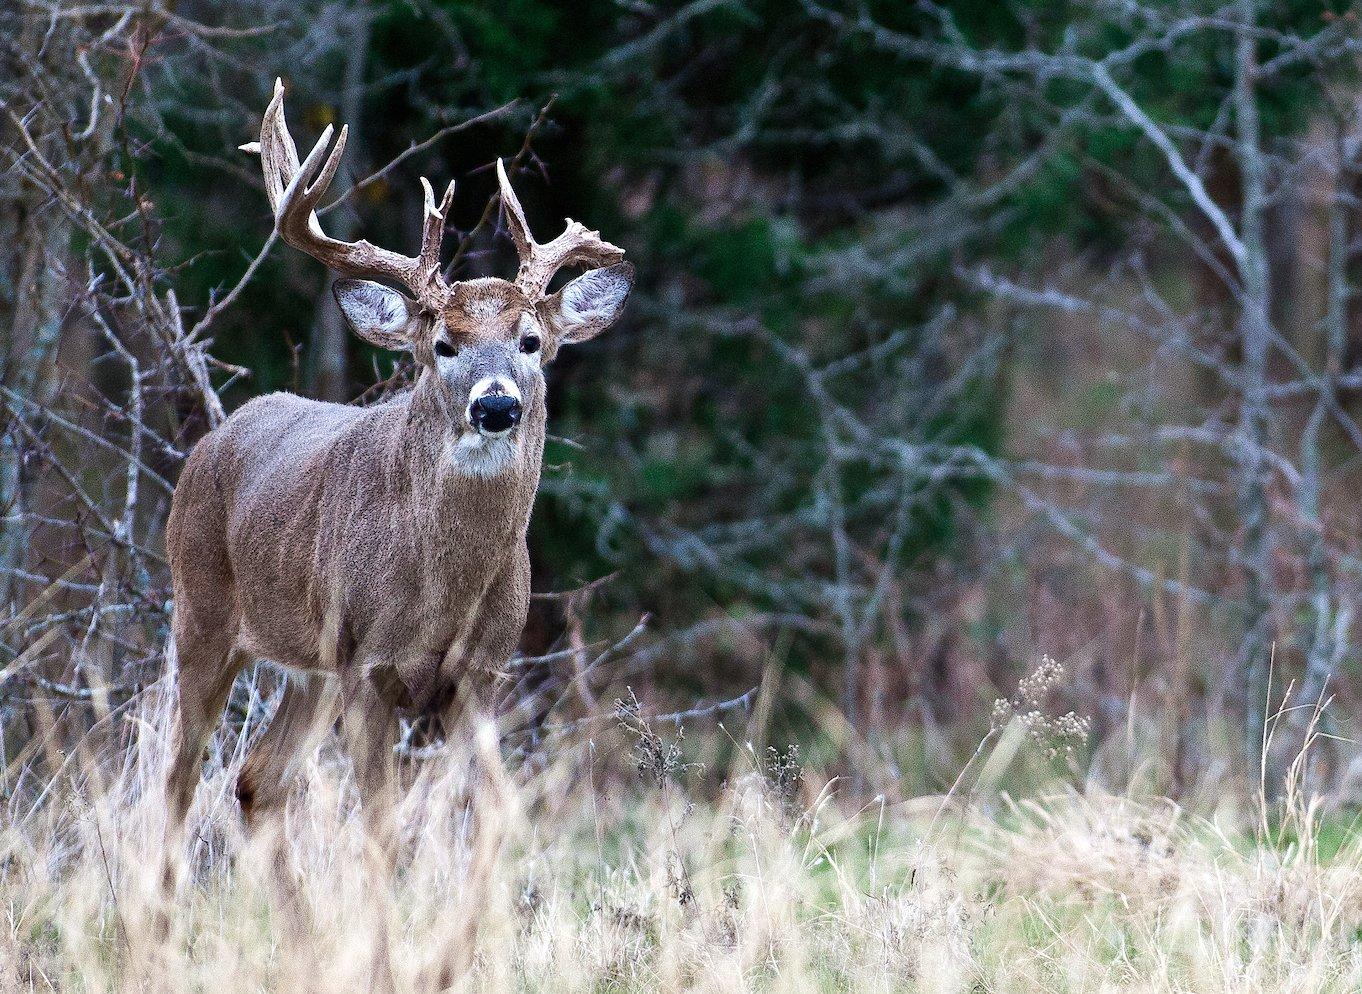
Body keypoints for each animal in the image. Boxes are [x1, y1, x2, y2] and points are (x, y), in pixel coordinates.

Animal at [162, 77, 634, 866]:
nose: (497, 404)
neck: (442, 591)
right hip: (201, 614)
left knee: (257, 780)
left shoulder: (482, 676)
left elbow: (481, 817)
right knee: (178, 783)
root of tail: (210, 442)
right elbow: (382, 829)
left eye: (531, 340)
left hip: (309, 667)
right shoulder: (369, 668)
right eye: (443, 344)